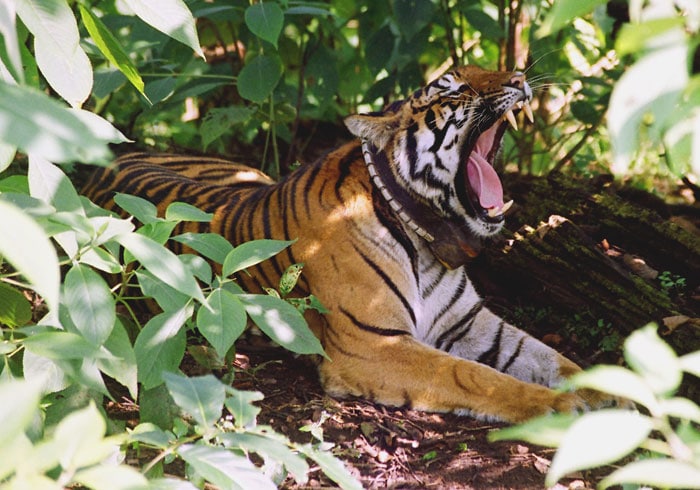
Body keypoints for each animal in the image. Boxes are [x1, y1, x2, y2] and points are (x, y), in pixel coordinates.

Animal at [83, 65, 609, 423]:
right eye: (453, 87)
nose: (520, 78)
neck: (427, 239)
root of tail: (116, 158)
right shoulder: (374, 343)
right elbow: (472, 375)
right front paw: (558, 406)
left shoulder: (473, 324)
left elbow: (558, 359)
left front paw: (616, 393)